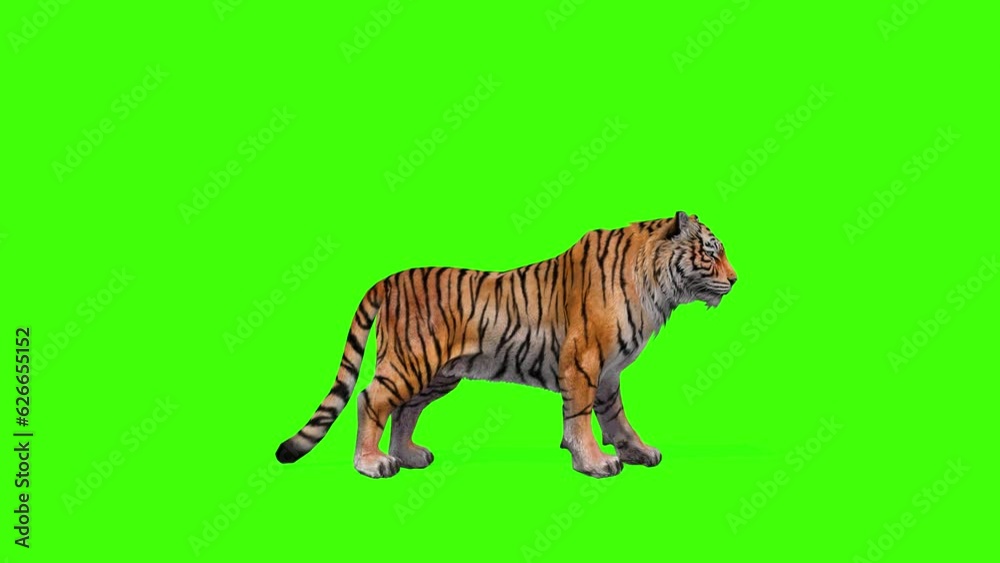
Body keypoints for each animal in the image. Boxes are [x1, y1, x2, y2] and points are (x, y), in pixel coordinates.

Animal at [275, 211, 737, 478]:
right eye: (711, 252)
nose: (735, 280)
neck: (657, 288)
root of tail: (389, 281)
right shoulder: (583, 361)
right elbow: (581, 418)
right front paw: (594, 462)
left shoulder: (608, 372)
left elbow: (617, 418)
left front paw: (638, 452)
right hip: (411, 361)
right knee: (371, 399)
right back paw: (373, 464)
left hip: (438, 375)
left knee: (405, 411)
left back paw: (408, 456)